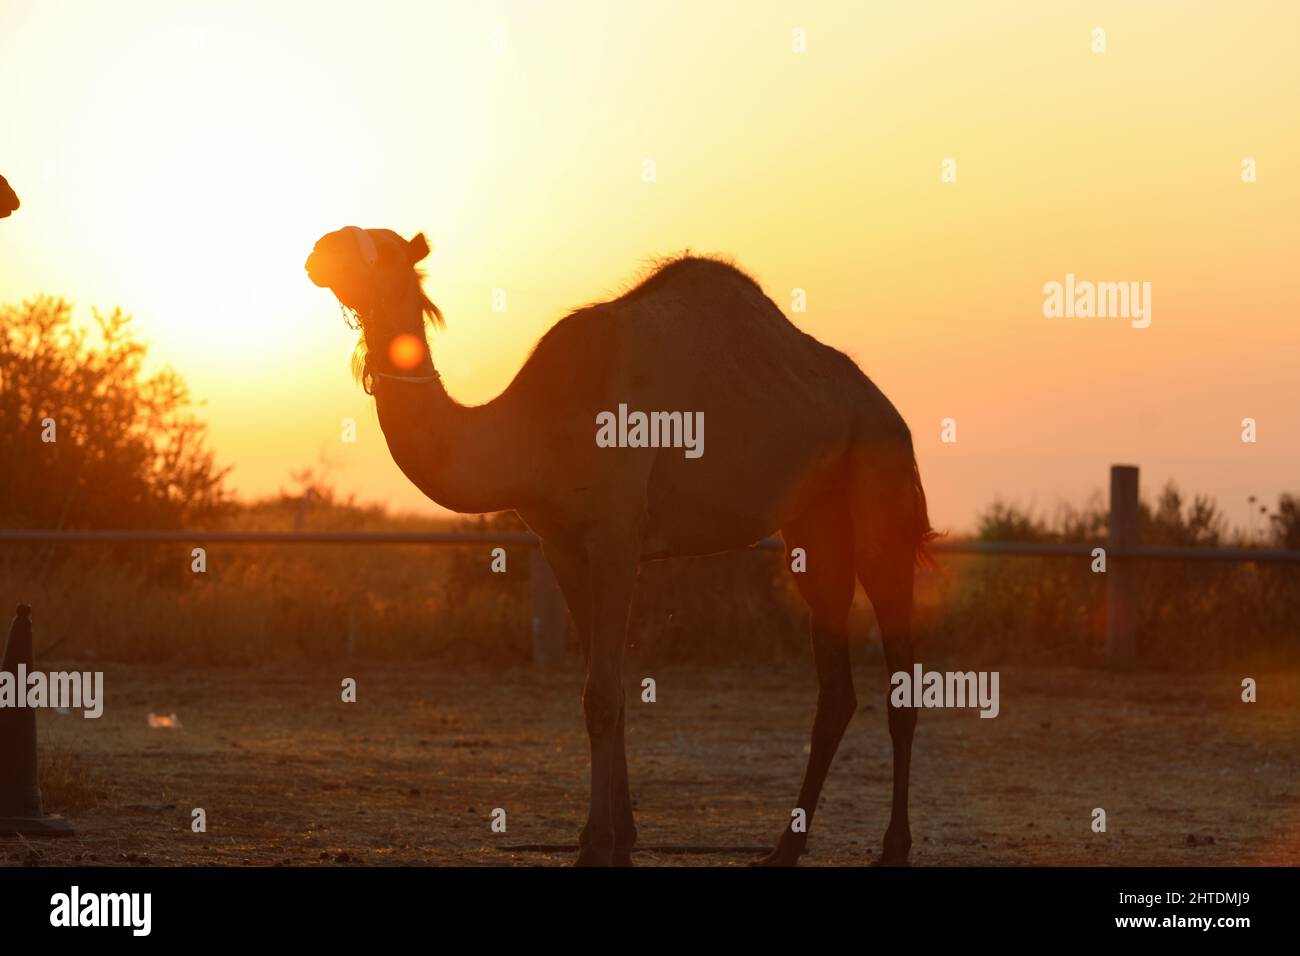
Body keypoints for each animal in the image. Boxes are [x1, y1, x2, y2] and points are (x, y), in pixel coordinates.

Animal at [305, 226, 933, 866]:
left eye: (380, 247)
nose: (319, 250)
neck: (530, 426)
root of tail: (889, 412)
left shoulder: (615, 535)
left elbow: (602, 694)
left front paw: (597, 845)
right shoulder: (560, 544)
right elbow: (609, 687)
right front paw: (617, 838)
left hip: (880, 484)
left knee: (901, 678)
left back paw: (893, 848)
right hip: (814, 523)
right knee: (835, 689)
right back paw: (783, 848)